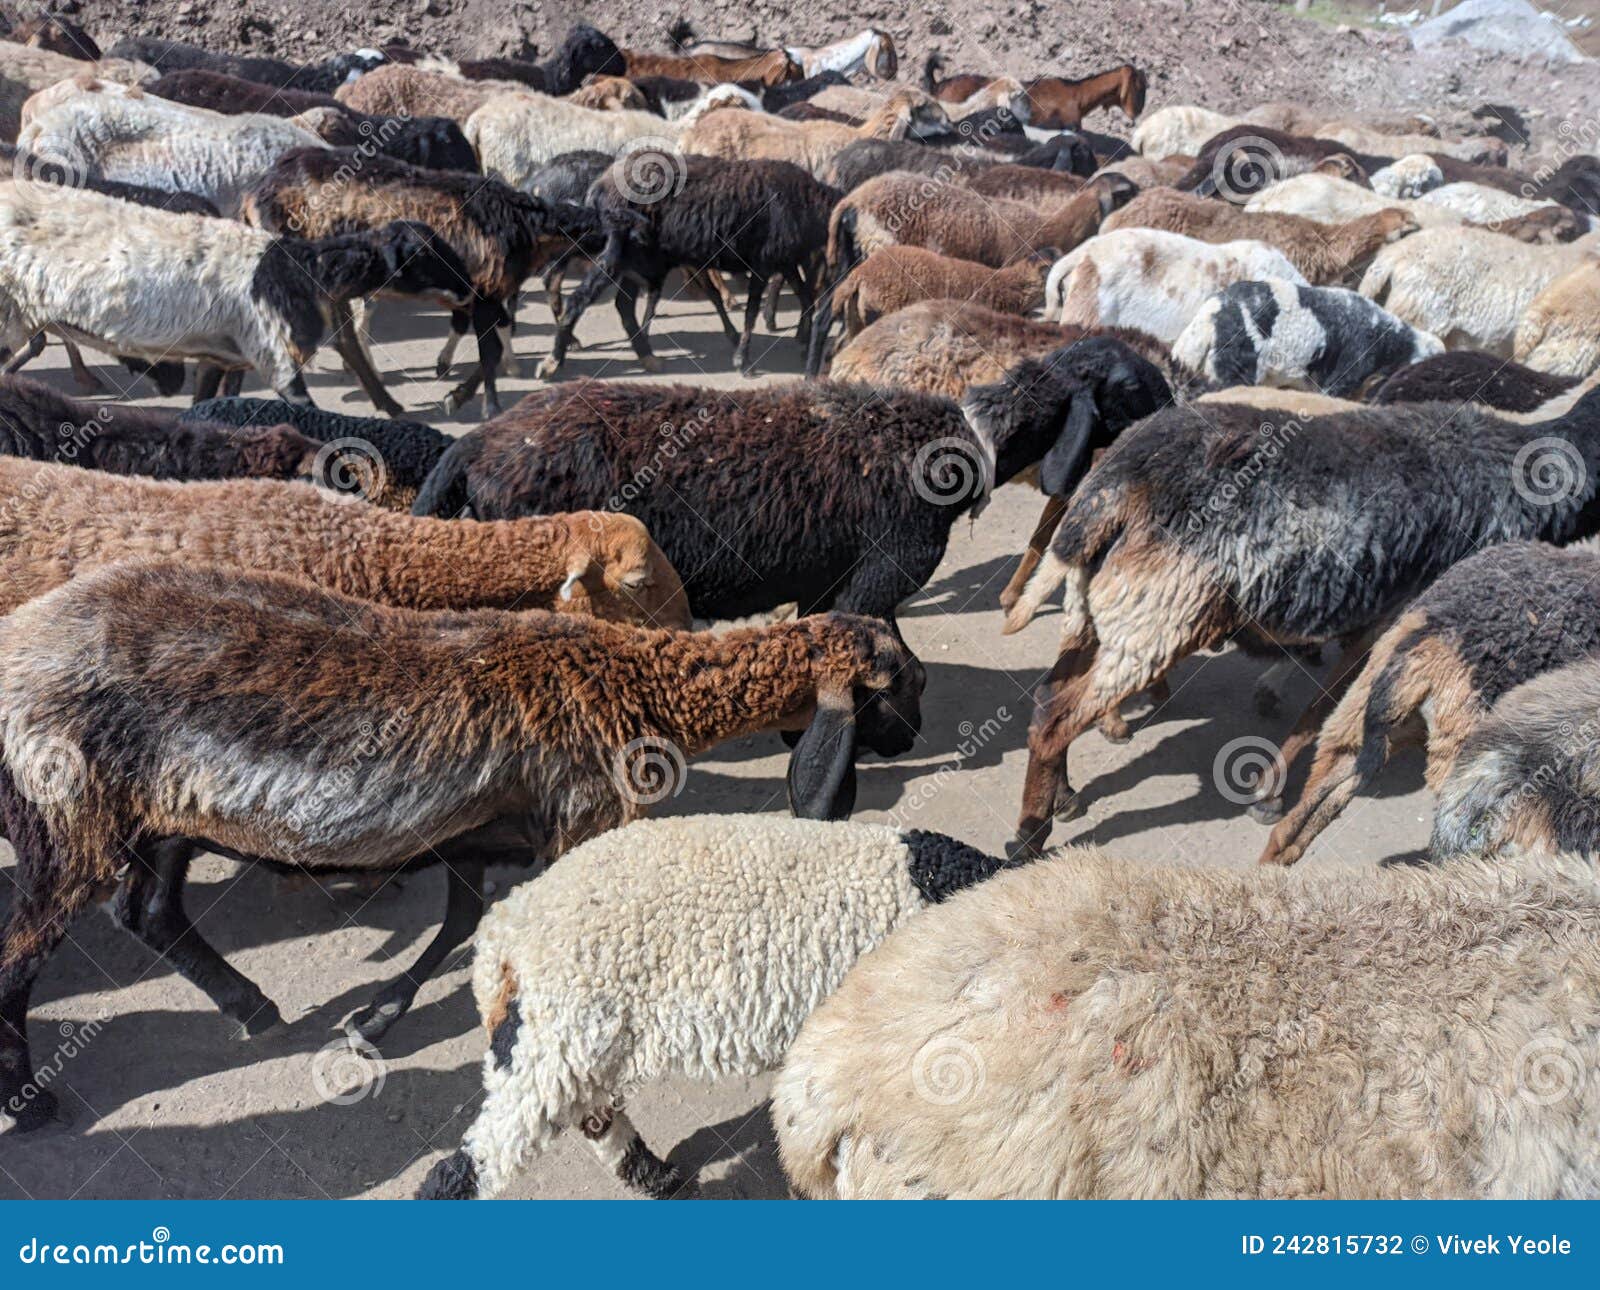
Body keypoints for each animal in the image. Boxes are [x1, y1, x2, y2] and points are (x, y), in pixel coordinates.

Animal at [0, 562, 924, 1127]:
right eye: (901, 682)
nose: (914, 737)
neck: (641, 684)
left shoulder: (483, 834)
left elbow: (460, 924)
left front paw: (375, 1019)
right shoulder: (581, 819)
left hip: (161, 819)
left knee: (147, 910)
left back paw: (253, 1008)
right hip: (62, 814)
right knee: (24, 949)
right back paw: (27, 1100)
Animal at [245, 146, 593, 416]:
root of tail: (260, 187)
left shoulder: (484, 294)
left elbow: (493, 344)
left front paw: (460, 393)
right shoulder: (484, 292)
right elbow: (490, 349)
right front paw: (483, 404)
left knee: (345, 338)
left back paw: (384, 399)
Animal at [411, 340, 1172, 640]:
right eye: (1136, 388)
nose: (1179, 418)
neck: (962, 437)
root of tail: (476, 443)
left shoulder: (827, 583)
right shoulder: (881, 576)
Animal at [417, 815, 1017, 1199]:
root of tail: (501, 943)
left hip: (567, 1044)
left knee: (595, 1118)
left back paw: (658, 1178)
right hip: (552, 1037)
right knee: (470, 1164)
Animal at [538, 155, 835, 378]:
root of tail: (599, 185)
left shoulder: (785, 262)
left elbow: (806, 297)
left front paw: (803, 341)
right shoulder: (763, 263)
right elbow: (752, 312)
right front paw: (743, 362)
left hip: (633, 262)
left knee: (624, 307)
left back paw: (648, 357)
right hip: (615, 256)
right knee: (578, 298)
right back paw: (552, 361)